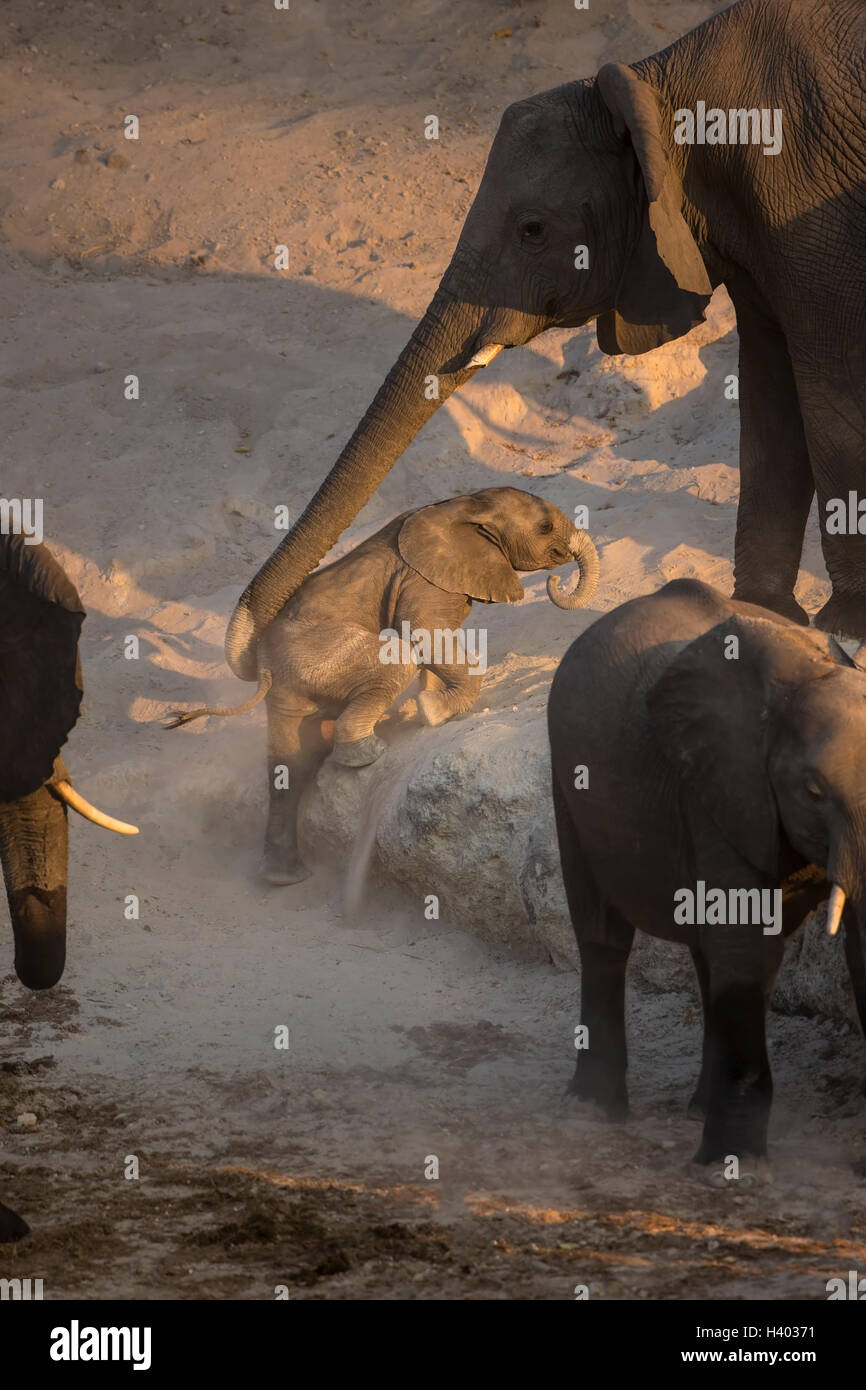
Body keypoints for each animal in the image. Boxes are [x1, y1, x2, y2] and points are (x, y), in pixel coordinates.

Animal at [169, 487, 599, 885]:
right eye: (544, 527)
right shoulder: (425, 581)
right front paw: (433, 712)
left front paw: (428, 704)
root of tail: (263, 666)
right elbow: (425, 634)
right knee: (397, 662)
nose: (557, 581)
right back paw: (365, 752)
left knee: (289, 764)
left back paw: (283, 878)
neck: (465, 504)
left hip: (291, 688)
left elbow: (431, 643)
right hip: (317, 652)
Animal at [223, 0, 866, 690]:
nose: (249, 661)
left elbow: (831, 400)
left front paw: (845, 625)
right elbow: (770, 397)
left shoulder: (804, 198)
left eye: (532, 230)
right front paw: (761, 615)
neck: (655, 81)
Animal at [547, 577, 866, 1170]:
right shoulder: (720, 786)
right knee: (602, 937)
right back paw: (591, 1111)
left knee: (708, 957)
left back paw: (696, 1109)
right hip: (568, 778)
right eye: (812, 793)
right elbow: (744, 946)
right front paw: (730, 1165)